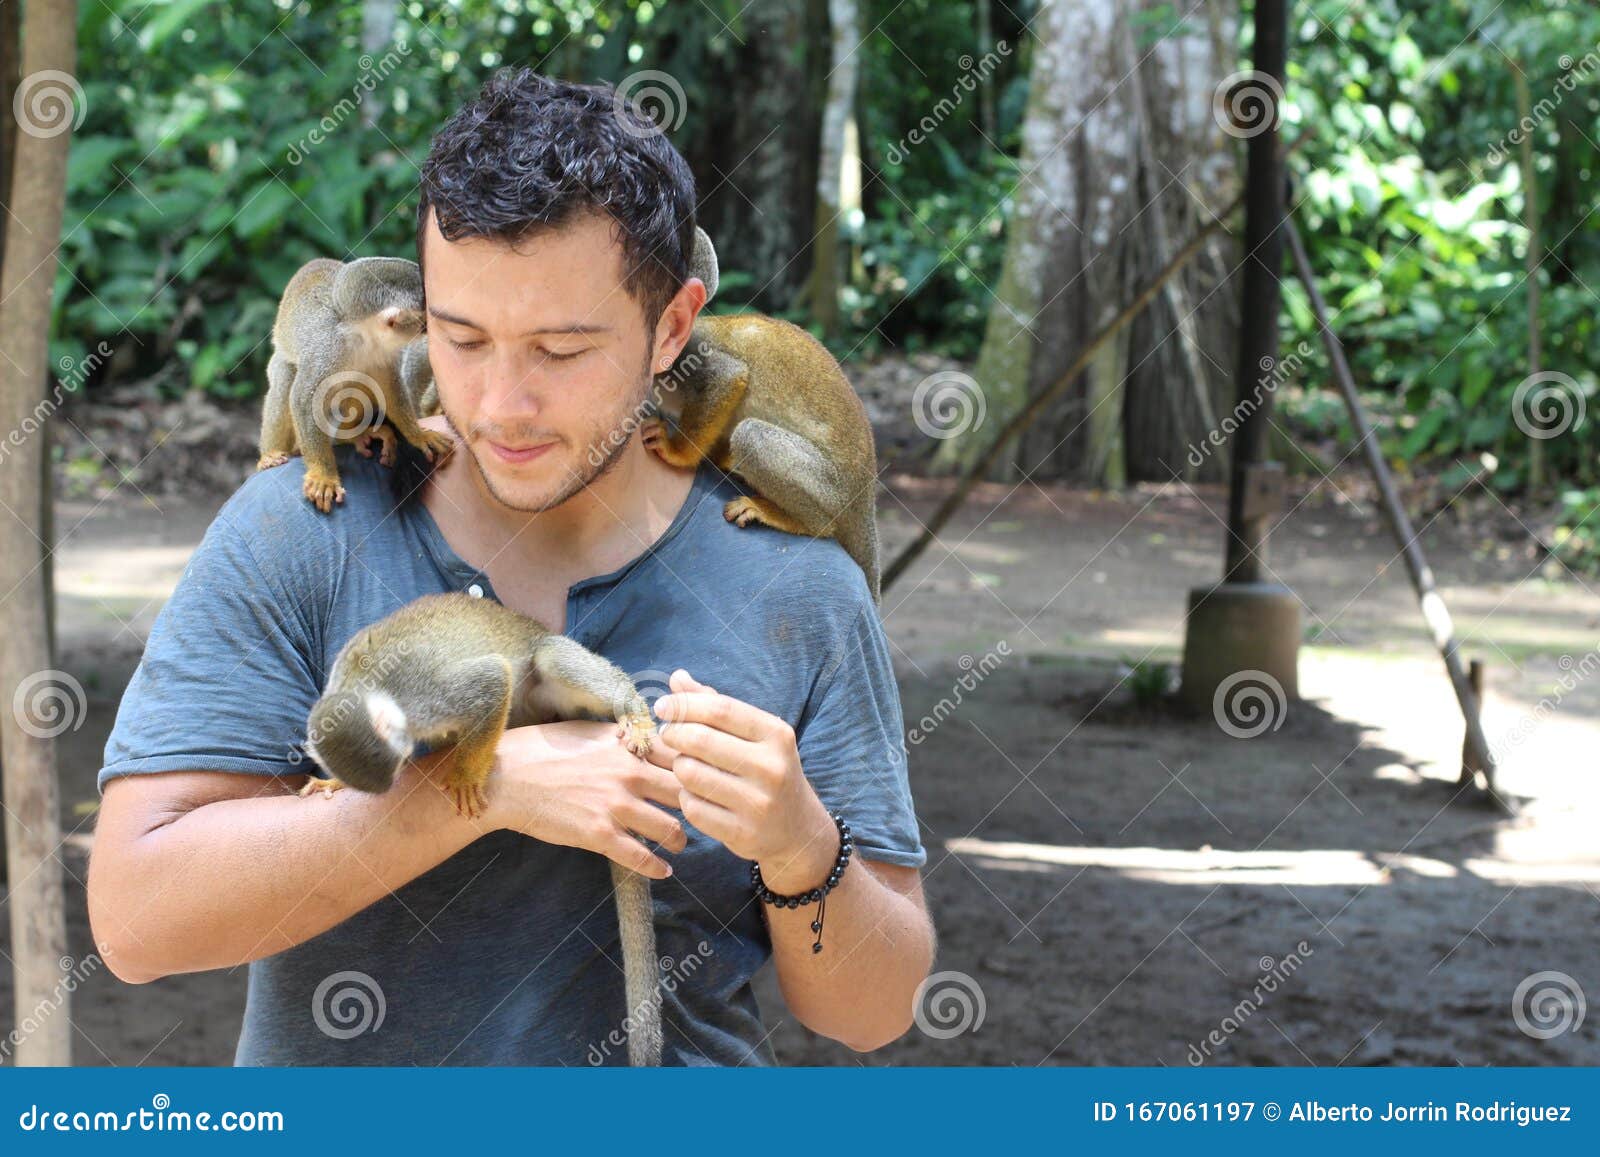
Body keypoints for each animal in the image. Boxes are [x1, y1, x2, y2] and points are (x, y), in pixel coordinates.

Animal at [257, 257, 455, 512]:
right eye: (424, 322)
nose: (430, 331)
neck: (361, 336)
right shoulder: (327, 348)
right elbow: (303, 399)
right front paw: (323, 475)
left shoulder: (383, 349)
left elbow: (389, 387)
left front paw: (418, 435)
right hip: (279, 360)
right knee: (286, 378)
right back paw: (271, 454)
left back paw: (354, 435)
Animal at [297, 591, 665, 1066]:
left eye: (396, 763)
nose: (394, 779)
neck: (364, 688)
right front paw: (334, 782)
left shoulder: (423, 695)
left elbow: (491, 680)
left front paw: (468, 773)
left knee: (549, 656)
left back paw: (633, 713)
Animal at [641, 228, 882, 601]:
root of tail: (865, 498)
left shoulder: (684, 356)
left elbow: (728, 376)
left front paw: (676, 451)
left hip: (834, 490)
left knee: (752, 434)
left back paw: (801, 521)